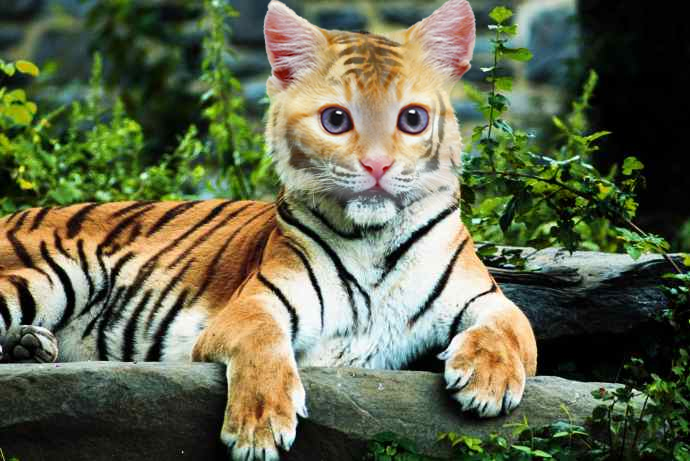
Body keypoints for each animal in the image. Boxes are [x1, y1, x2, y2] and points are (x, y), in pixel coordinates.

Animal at [0, 0, 537, 459]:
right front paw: (258, 429)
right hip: (57, 274)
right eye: (335, 119)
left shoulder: (485, 298)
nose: (377, 166)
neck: (374, 240)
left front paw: (487, 383)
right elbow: (263, 343)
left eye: (412, 119)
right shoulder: (255, 304)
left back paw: (32, 346)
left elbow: (512, 328)